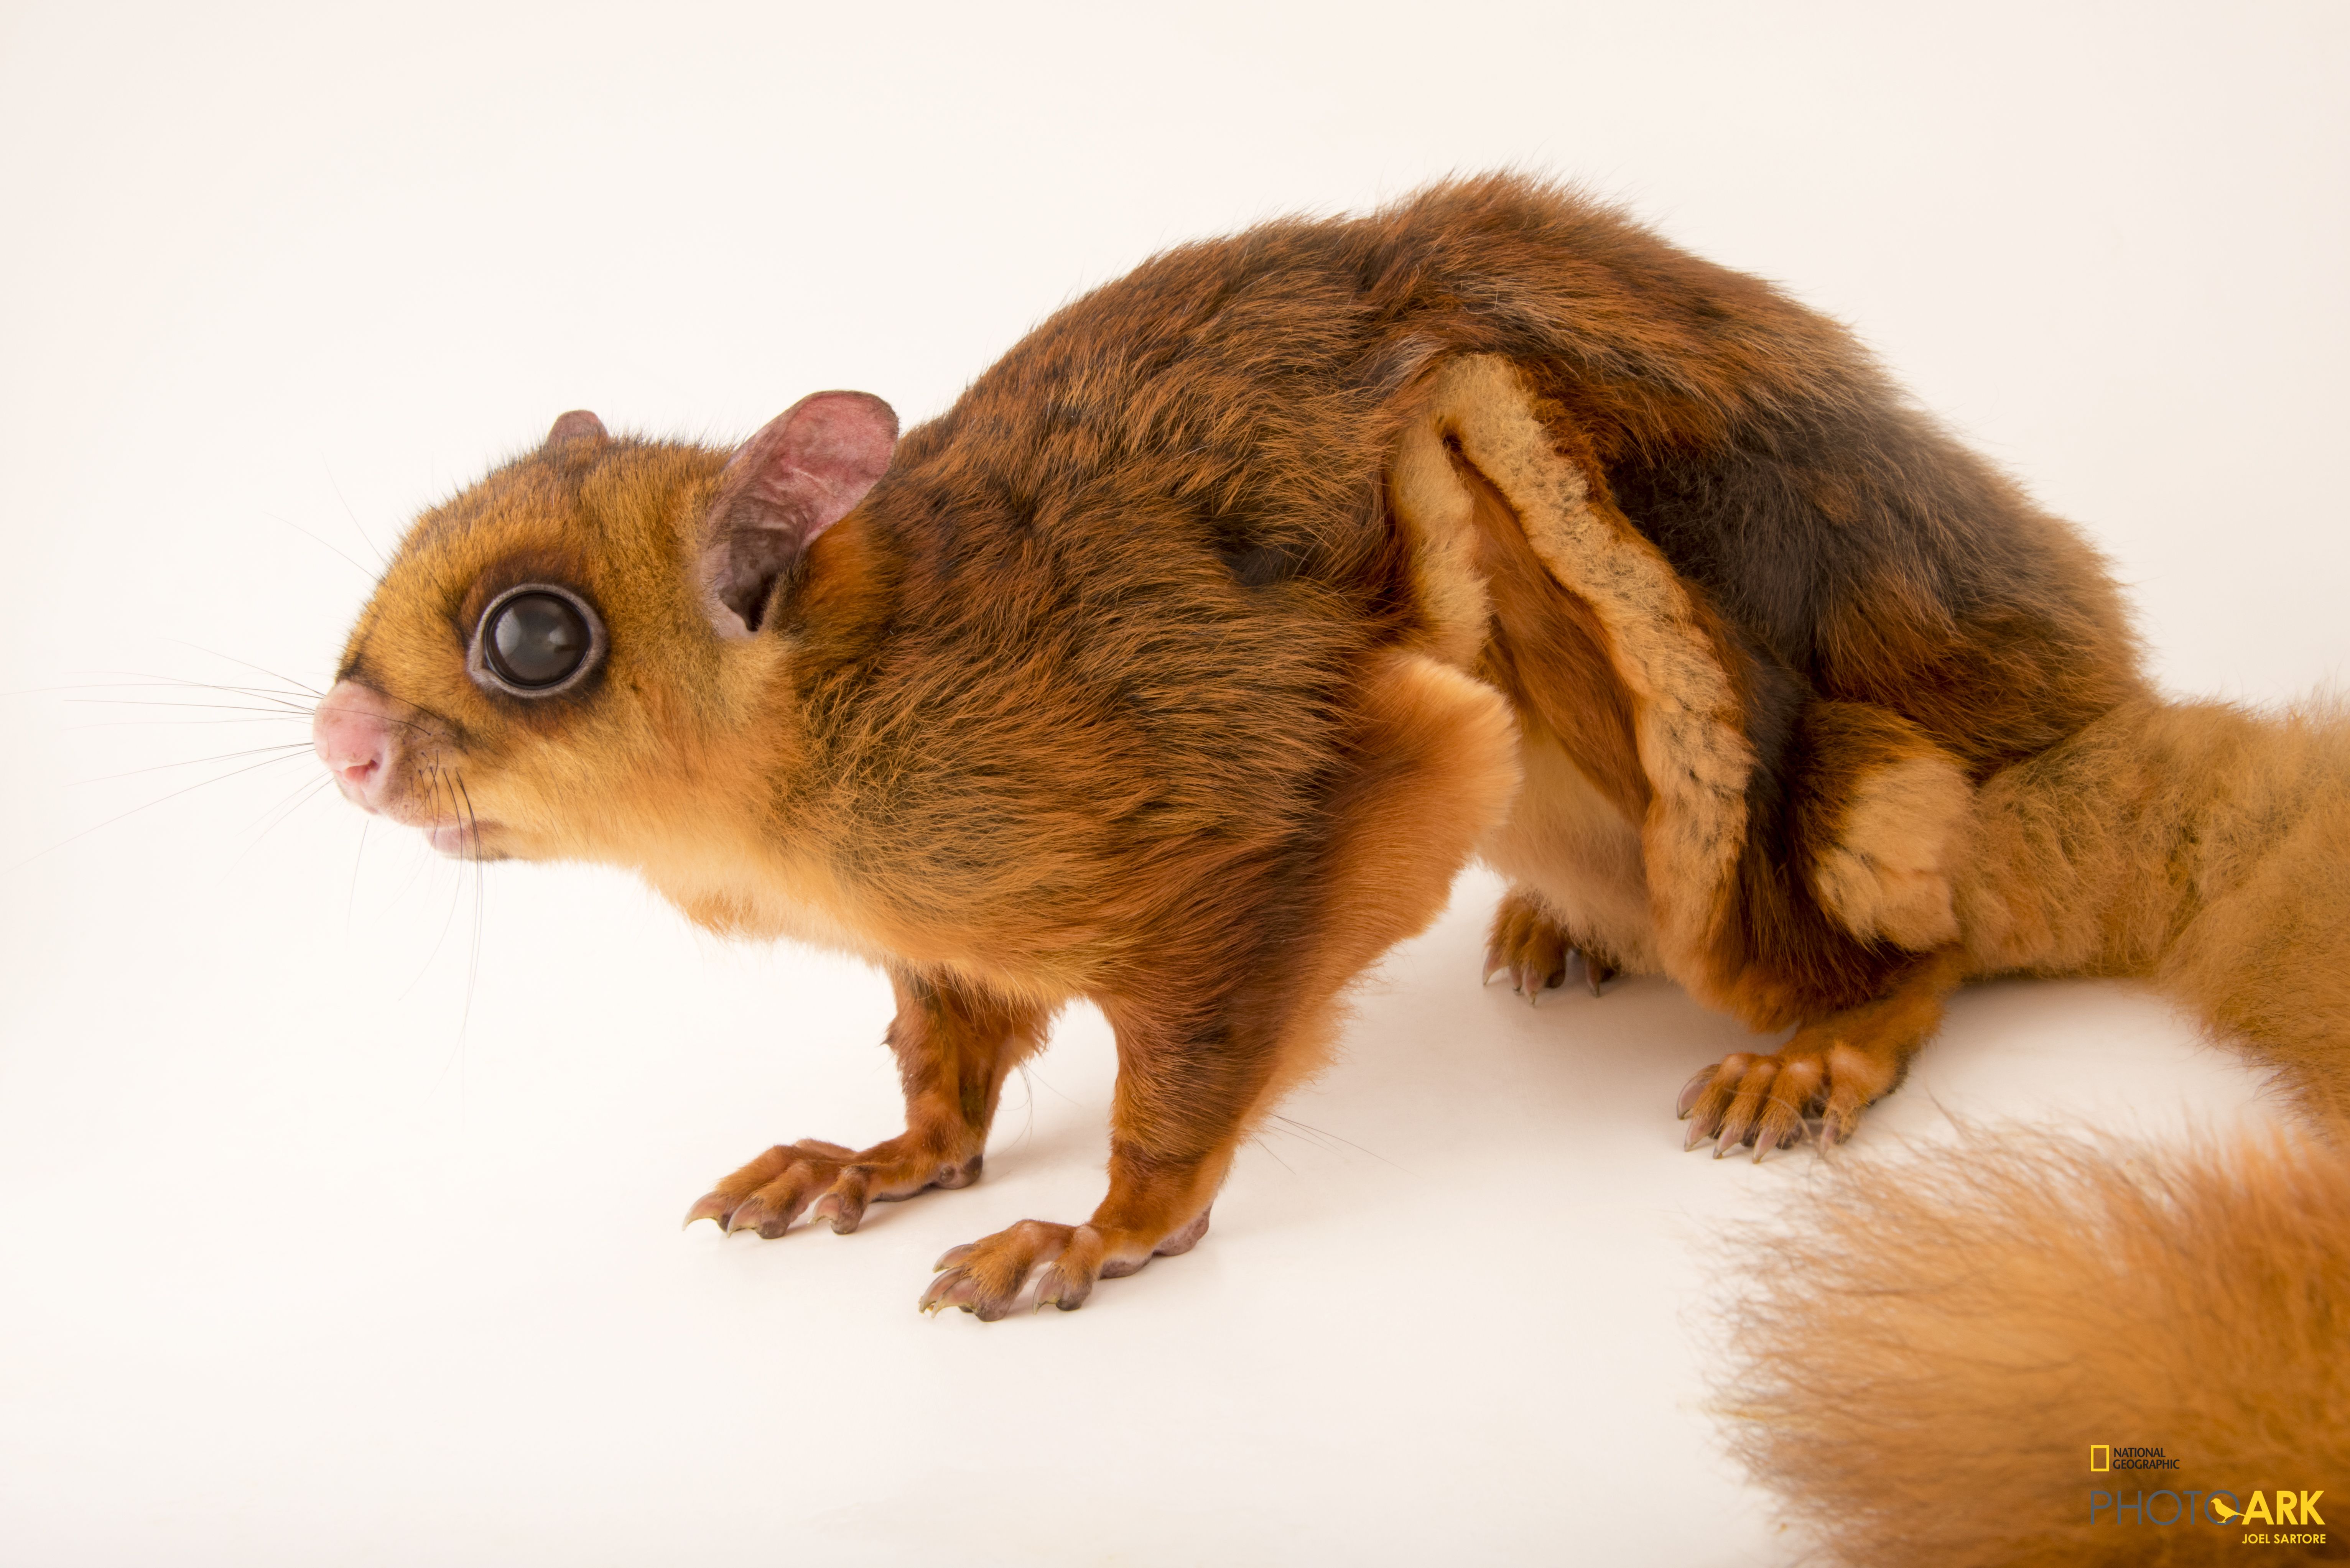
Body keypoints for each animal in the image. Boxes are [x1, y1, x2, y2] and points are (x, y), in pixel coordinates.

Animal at [314, 174, 2344, 1544]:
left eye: (533, 638)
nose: (338, 742)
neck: (847, 703)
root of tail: (2033, 756)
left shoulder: (1223, 788)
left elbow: (1227, 1003)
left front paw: (1100, 1229)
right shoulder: (943, 929)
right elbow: (947, 1060)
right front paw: (880, 1158)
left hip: (1696, 716)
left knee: (1892, 927)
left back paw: (1826, 1039)